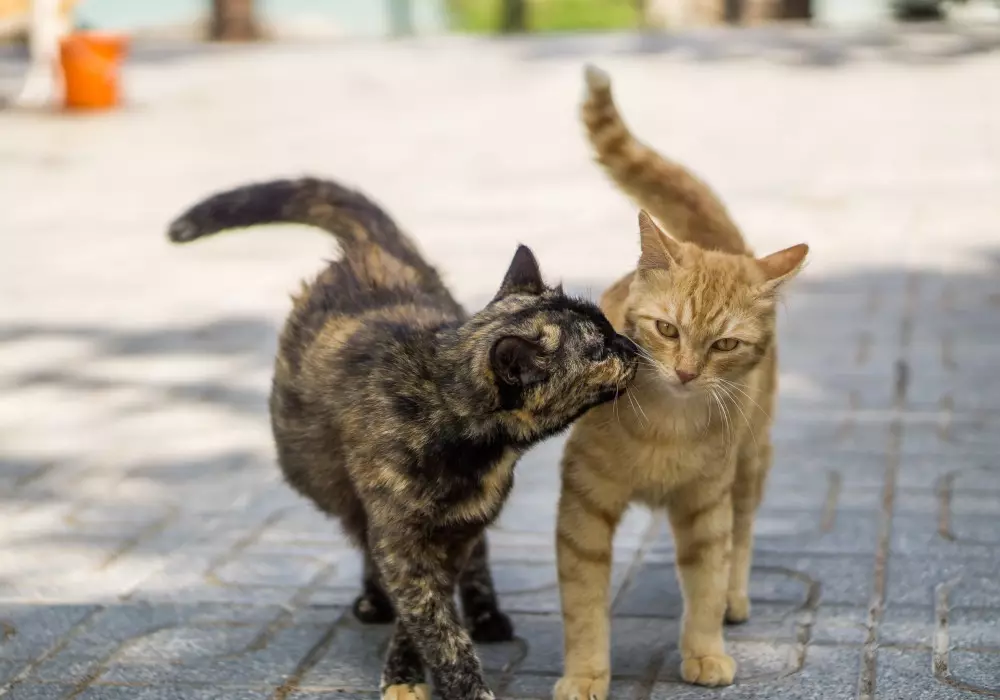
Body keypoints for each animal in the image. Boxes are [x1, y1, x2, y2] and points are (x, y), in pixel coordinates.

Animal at [167, 178, 636, 700]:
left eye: (608, 325)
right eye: (598, 350)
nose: (632, 344)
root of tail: (371, 247)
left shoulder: (455, 535)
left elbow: (431, 610)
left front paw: (410, 666)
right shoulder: (401, 540)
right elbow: (434, 625)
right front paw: (446, 682)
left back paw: (485, 614)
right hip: (328, 482)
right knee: (360, 533)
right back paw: (376, 600)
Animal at [556, 64, 812, 696]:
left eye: (724, 345)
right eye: (667, 330)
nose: (688, 372)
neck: (664, 426)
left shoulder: (703, 505)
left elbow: (706, 582)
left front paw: (704, 650)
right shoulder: (584, 509)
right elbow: (583, 604)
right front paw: (585, 673)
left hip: (750, 462)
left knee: (742, 534)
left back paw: (736, 599)